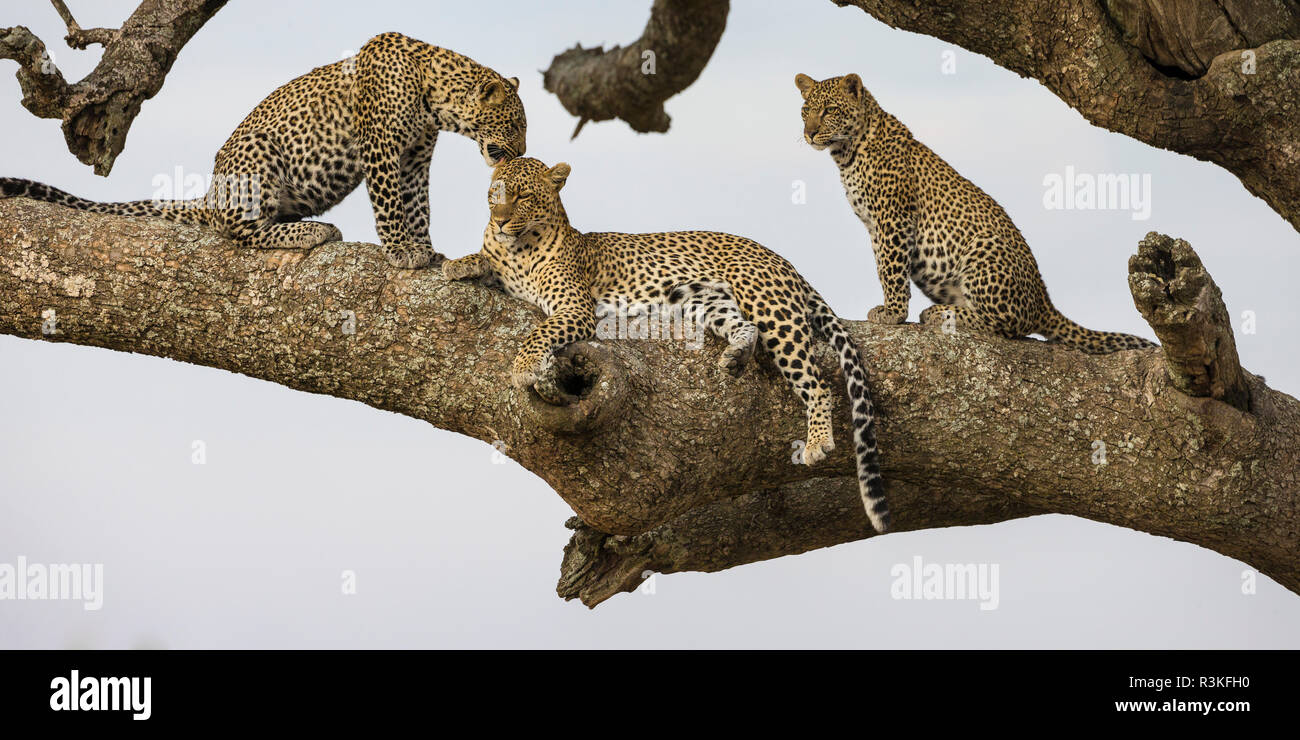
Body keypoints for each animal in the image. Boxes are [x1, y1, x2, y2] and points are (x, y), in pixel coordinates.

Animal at [1, 31, 526, 269]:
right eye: (517, 124)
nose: (522, 152)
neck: (436, 97)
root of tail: (211, 197)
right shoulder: (380, 147)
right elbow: (390, 205)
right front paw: (400, 252)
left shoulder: (415, 156)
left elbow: (418, 206)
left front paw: (426, 249)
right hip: (256, 158)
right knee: (242, 232)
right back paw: (312, 231)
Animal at [443, 157, 891, 533]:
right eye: (494, 194)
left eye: (522, 196)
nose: (499, 220)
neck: (517, 249)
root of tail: (782, 259)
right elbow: (485, 262)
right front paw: (459, 263)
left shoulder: (574, 306)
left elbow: (540, 331)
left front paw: (523, 367)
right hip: (702, 300)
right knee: (744, 327)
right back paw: (735, 357)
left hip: (770, 307)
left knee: (817, 383)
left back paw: (816, 441)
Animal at [795, 72, 1156, 354]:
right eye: (805, 111)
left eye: (829, 110)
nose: (809, 133)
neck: (846, 153)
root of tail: (1044, 300)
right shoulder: (874, 226)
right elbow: (884, 267)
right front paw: (891, 308)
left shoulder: (893, 217)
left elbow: (892, 270)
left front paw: (894, 313)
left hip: (983, 247)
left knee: (1008, 325)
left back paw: (941, 314)